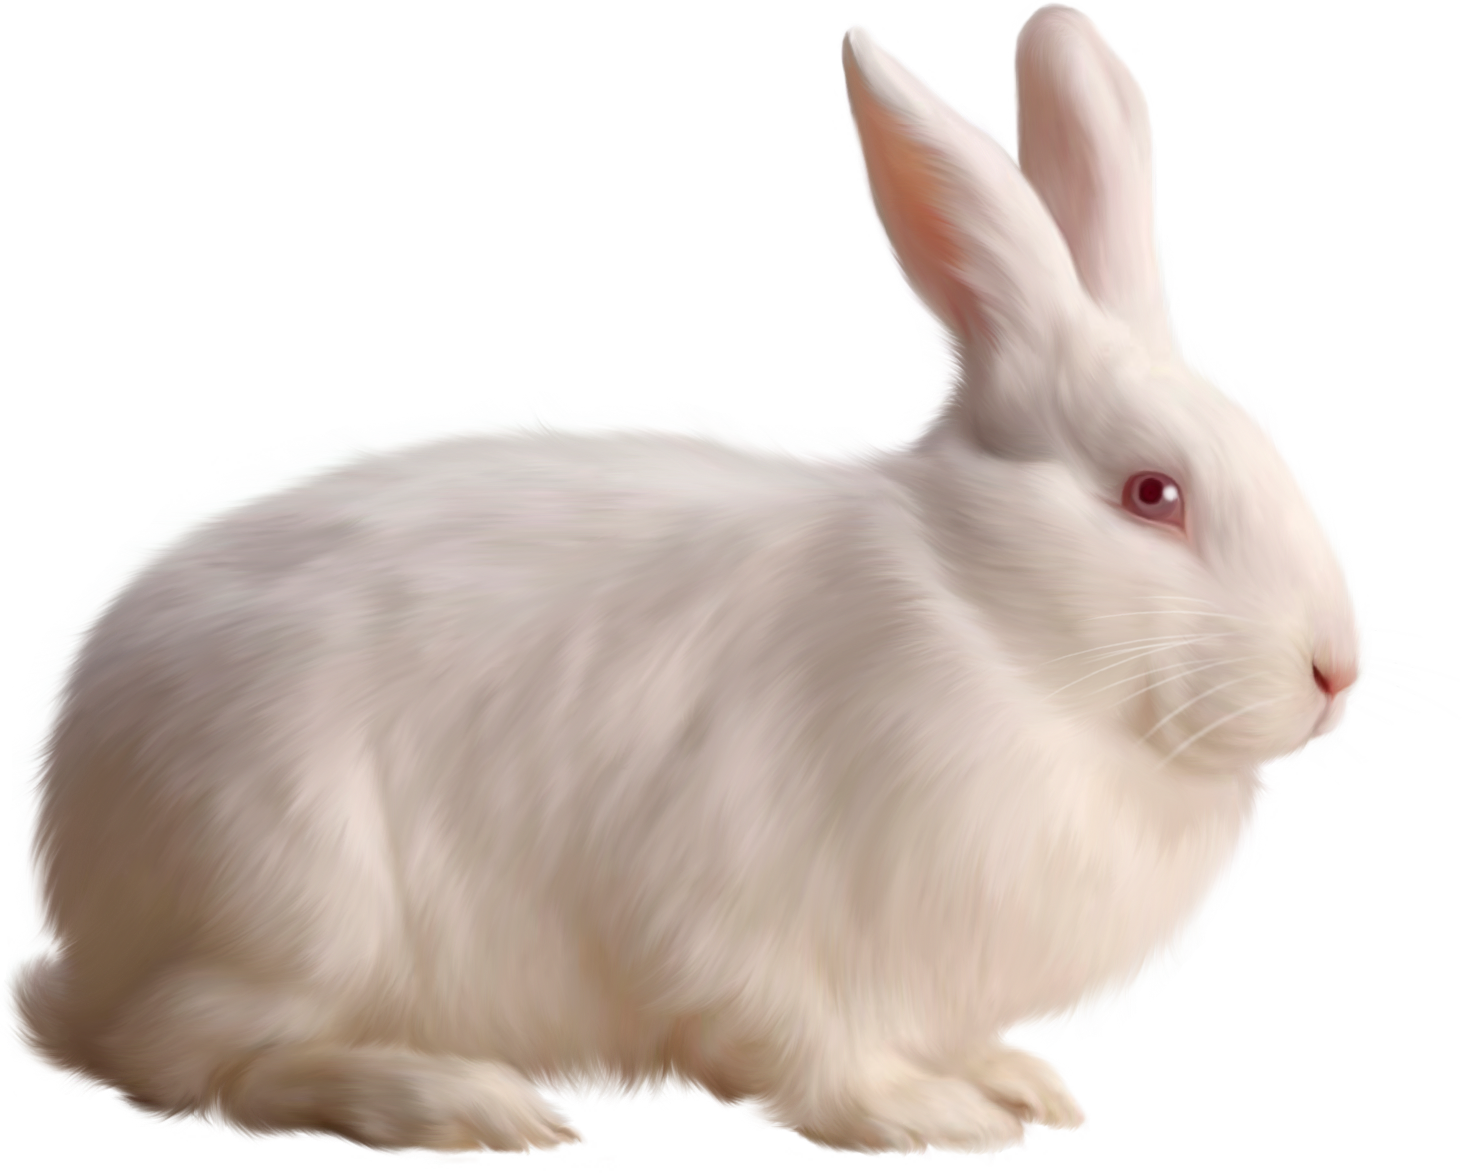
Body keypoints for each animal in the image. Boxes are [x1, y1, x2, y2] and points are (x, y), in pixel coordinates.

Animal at [3, 3, 1366, 1162]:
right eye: (1152, 494)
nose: (1335, 674)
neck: (991, 622)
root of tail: (71, 917)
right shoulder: (751, 922)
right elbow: (806, 1059)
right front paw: (941, 1116)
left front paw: (1026, 1087)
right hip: (295, 889)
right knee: (196, 1062)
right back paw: (479, 1108)